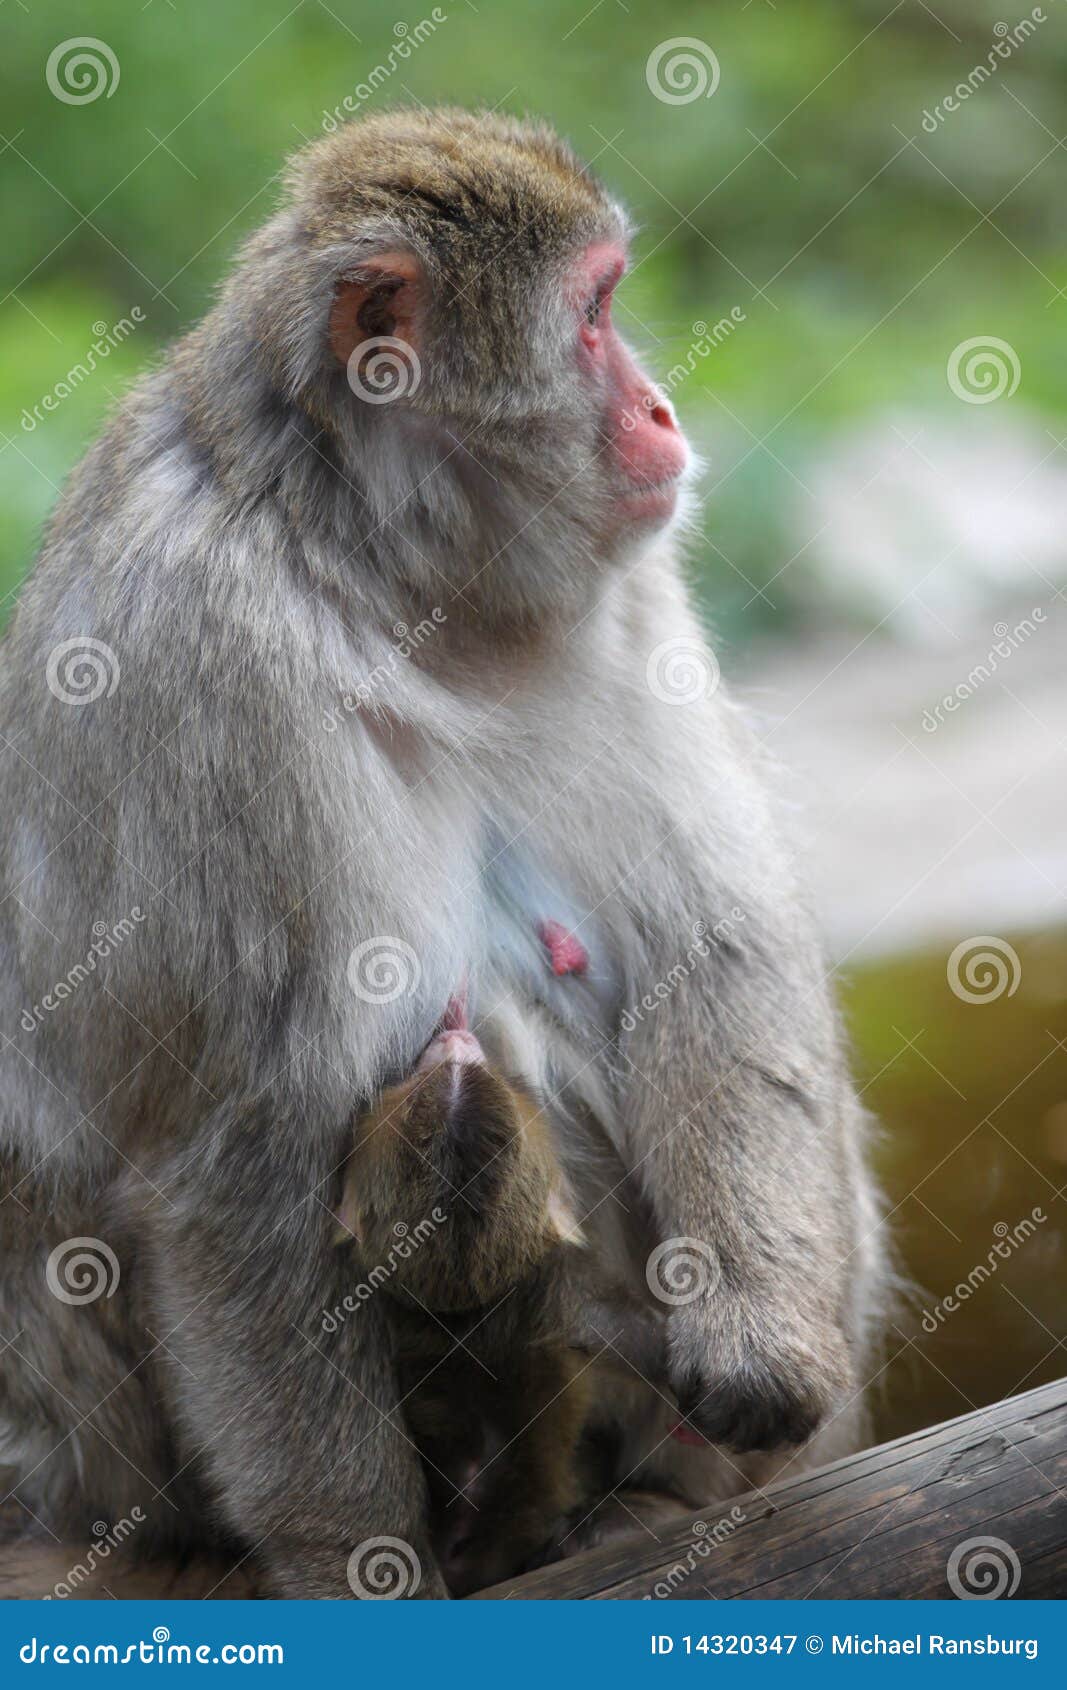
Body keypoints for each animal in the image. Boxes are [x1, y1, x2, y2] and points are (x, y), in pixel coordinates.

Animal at [0, 107, 886, 1598]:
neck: (388, 567)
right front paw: (360, 1563)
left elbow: (715, 939)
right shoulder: (195, 656)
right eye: (592, 316)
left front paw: (758, 1331)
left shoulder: (626, 585)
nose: (662, 411)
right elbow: (242, 1132)